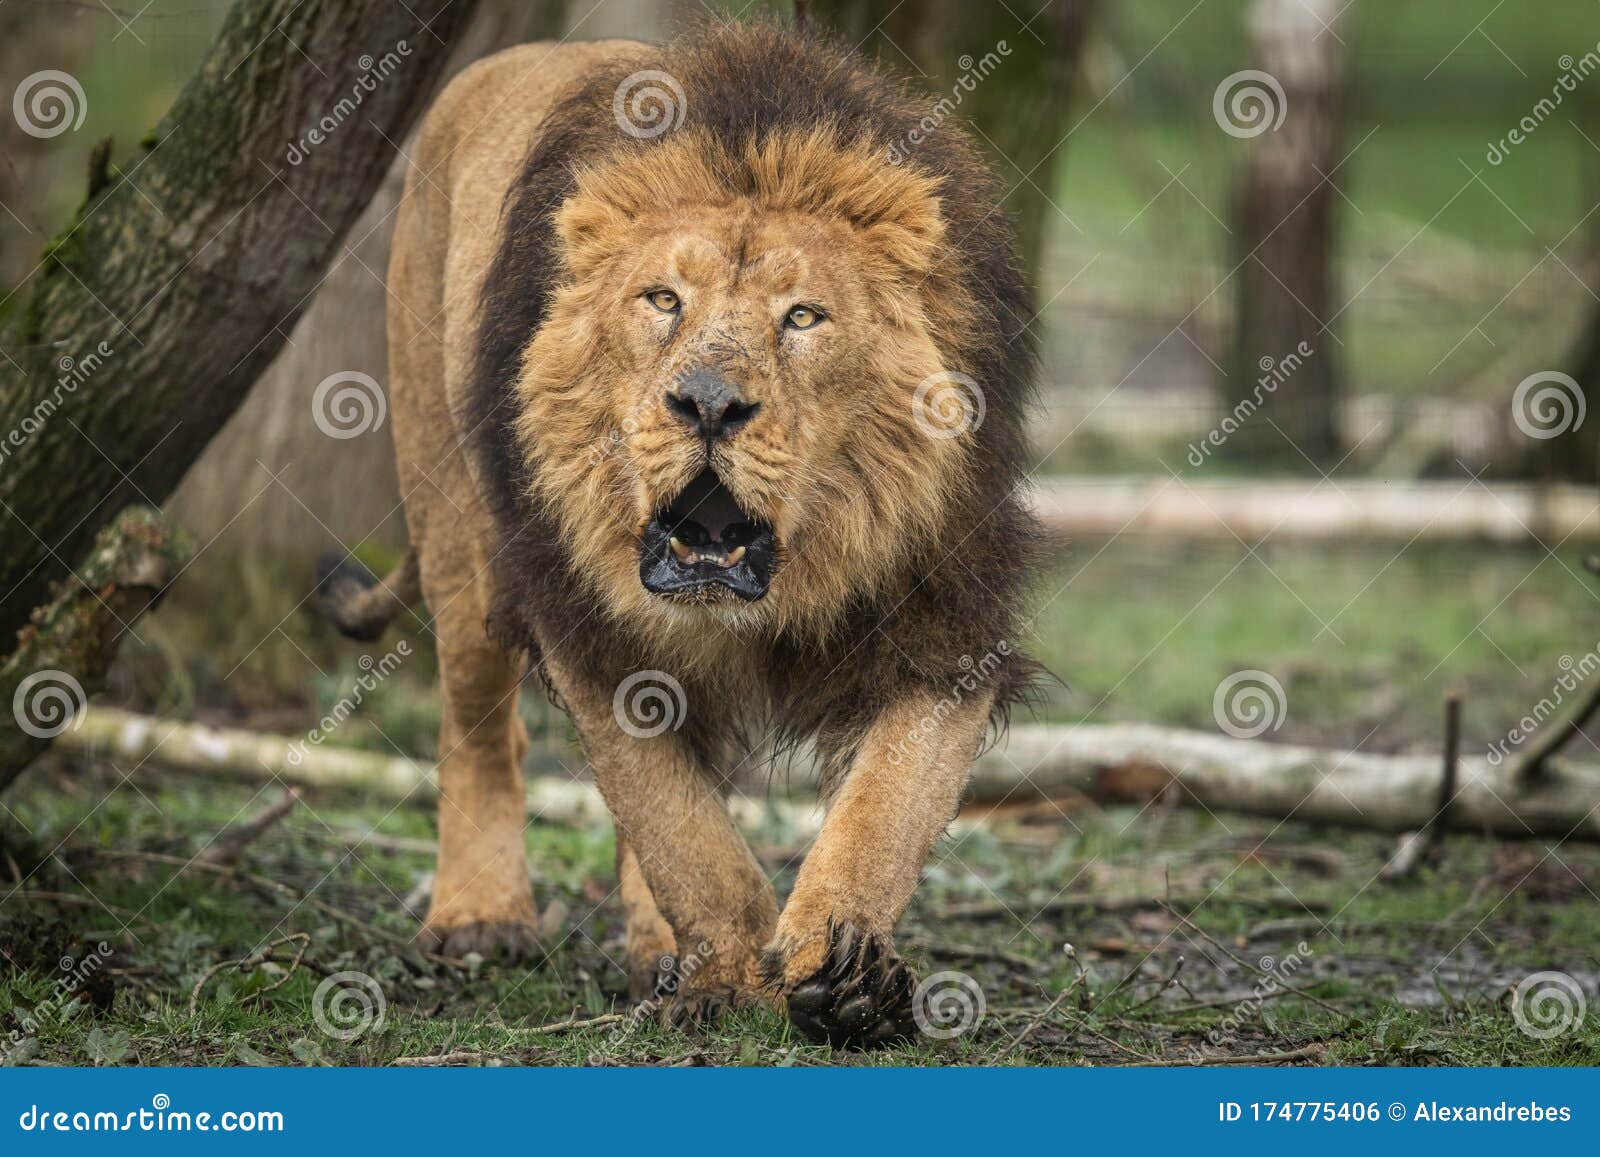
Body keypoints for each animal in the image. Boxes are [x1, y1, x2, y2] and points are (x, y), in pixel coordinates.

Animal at [316, 22, 1042, 1047]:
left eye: (802, 316)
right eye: (663, 300)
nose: (707, 403)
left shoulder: (945, 622)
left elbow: (885, 809)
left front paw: (844, 972)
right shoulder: (587, 626)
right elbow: (682, 829)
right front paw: (726, 977)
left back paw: (659, 948)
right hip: (448, 507)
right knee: (480, 726)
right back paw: (480, 917)